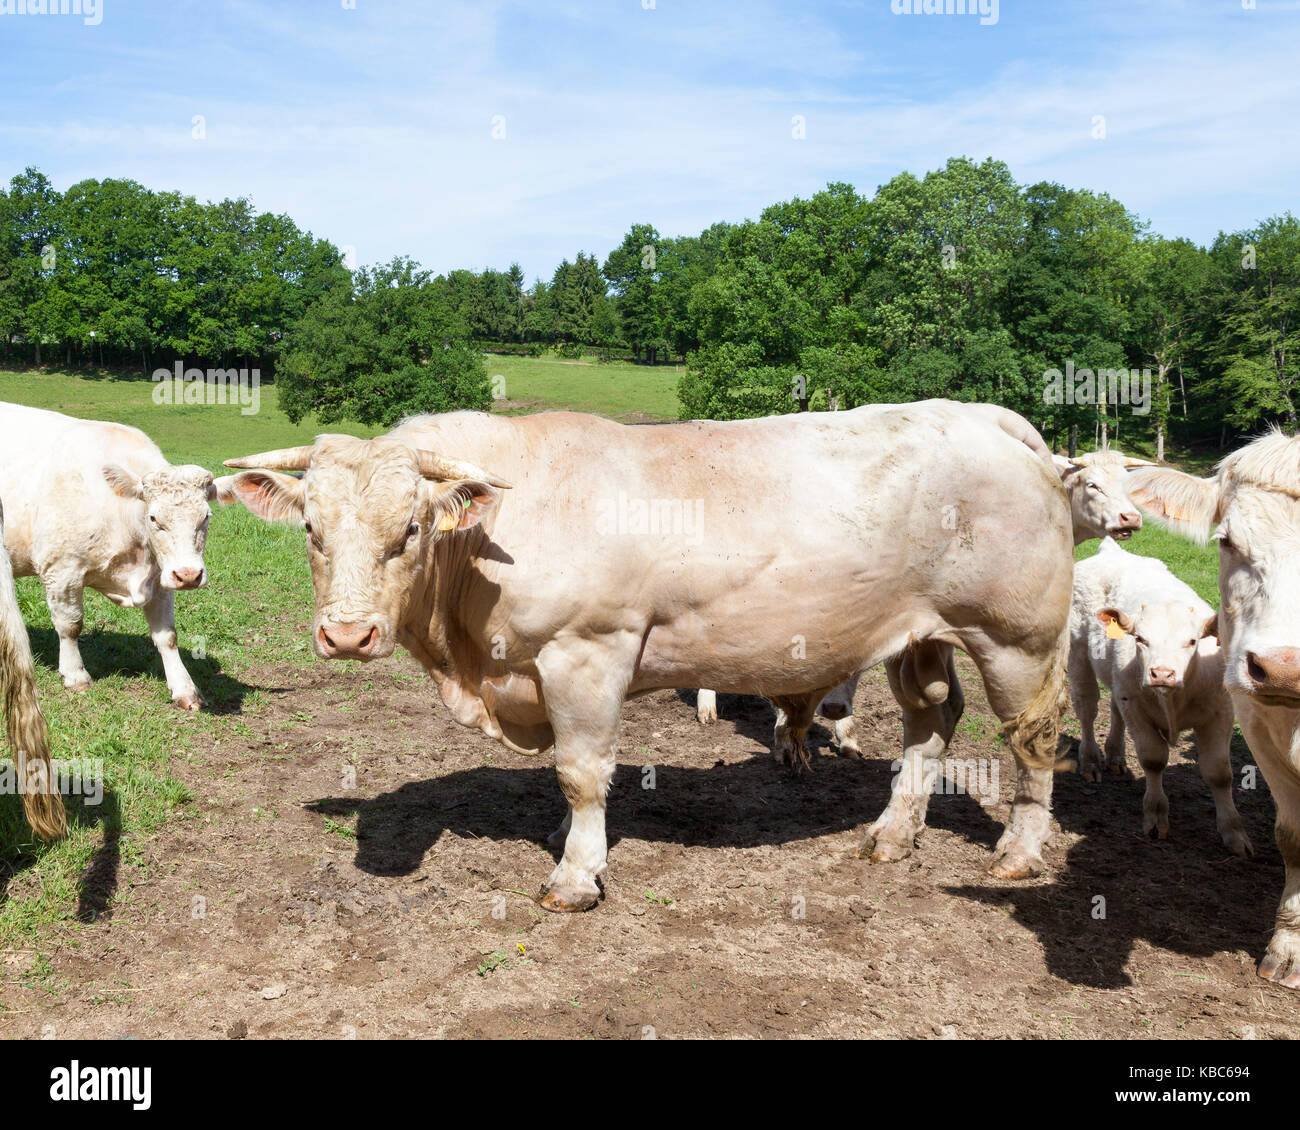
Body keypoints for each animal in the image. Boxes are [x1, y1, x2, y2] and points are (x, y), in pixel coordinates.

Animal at [0, 403, 218, 710]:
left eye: (206, 516)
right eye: (154, 518)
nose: (189, 575)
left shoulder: (161, 576)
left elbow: (167, 636)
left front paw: (185, 688)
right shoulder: (62, 570)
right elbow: (70, 625)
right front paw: (75, 675)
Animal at [220, 400, 1073, 911]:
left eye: (409, 530)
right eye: (310, 530)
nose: (347, 636)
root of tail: (983, 416)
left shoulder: (586, 652)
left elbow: (581, 772)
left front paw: (576, 874)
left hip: (1016, 635)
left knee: (1031, 738)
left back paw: (1018, 853)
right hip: (917, 634)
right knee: (932, 721)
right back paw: (893, 834)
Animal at [1068, 537, 1249, 856]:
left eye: (1191, 641)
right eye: (1141, 639)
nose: (1162, 673)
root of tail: (1111, 551)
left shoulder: (1220, 713)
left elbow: (1219, 773)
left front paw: (1234, 832)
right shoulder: (1137, 710)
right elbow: (1153, 760)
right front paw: (1155, 816)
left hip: (1119, 682)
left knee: (1114, 709)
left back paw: (1115, 756)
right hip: (1078, 654)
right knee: (1087, 709)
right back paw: (1090, 760)